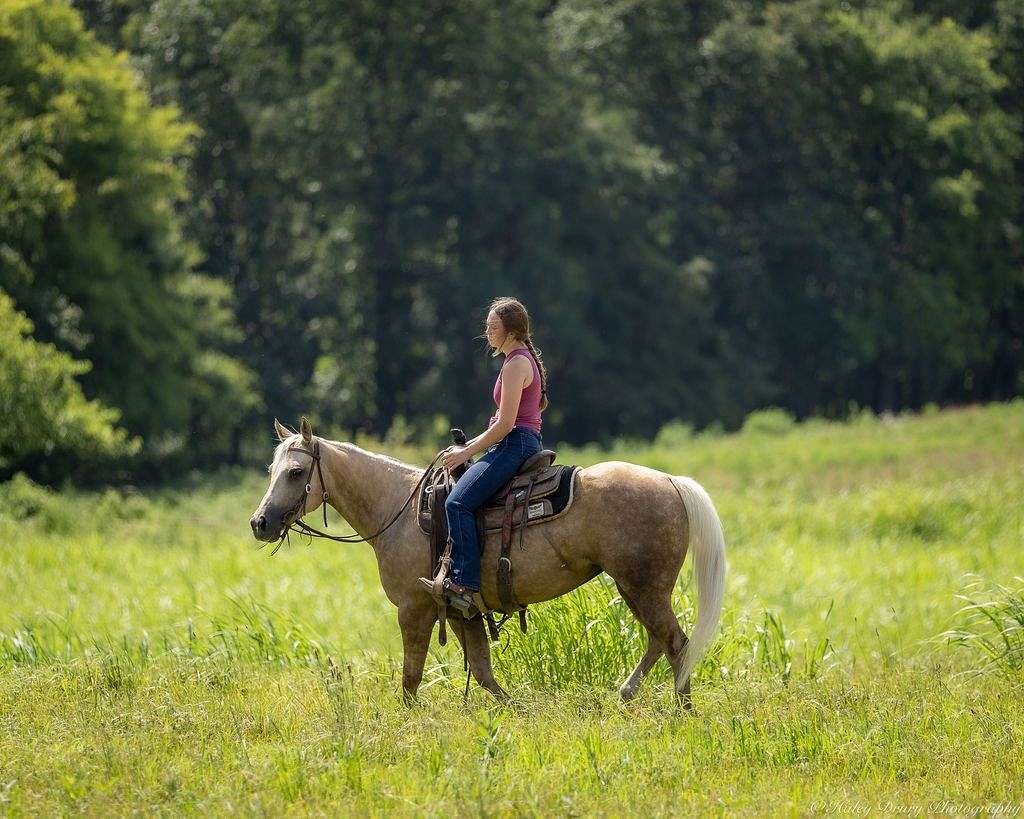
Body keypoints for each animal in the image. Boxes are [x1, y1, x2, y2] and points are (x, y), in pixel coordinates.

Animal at [249, 417, 726, 708]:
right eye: (271, 470)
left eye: (296, 472)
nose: (260, 522)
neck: (399, 510)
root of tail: (670, 481)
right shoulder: (461, 610)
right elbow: (481, 671)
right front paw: (515, 710)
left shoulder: (414, 608)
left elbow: (411, 676)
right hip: (635, 586)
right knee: (659, 641)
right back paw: (628, 692)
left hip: (644, 586)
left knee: (676, 643)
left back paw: (682, 710)